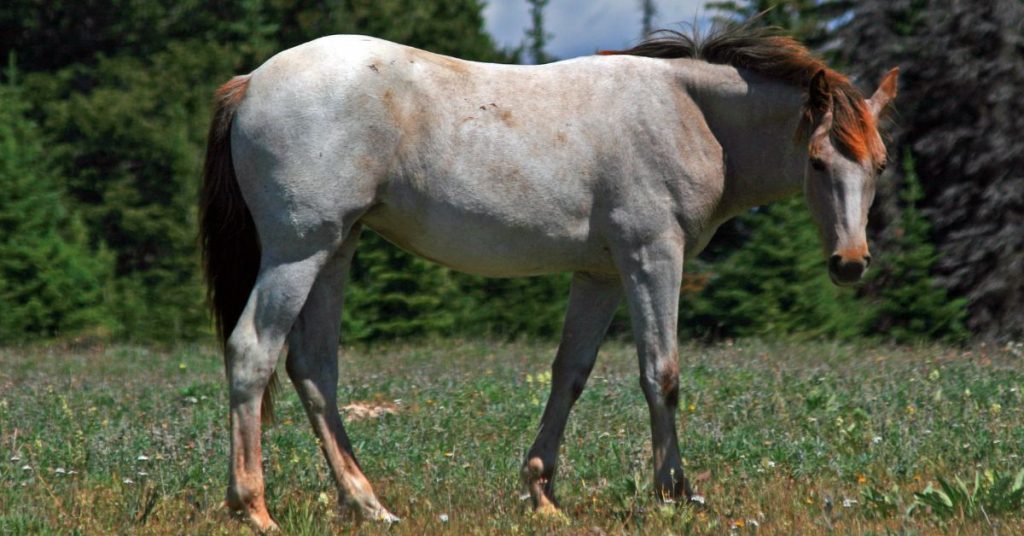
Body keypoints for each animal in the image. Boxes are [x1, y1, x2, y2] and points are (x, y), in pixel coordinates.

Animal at [199, 22, 897, 530]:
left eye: (881, 165)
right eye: (817, 161)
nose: (850, 263)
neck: (691, 114)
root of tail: (250, 81)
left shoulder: (600, 275)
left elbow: (570, 374)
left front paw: (542, 493)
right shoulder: (652, 257)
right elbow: (662, 374)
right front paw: (674, 493)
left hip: (336, 251)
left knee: (314, 368)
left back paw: (368, 504)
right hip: (298, 251)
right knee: (253, 352)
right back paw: (253, 508)